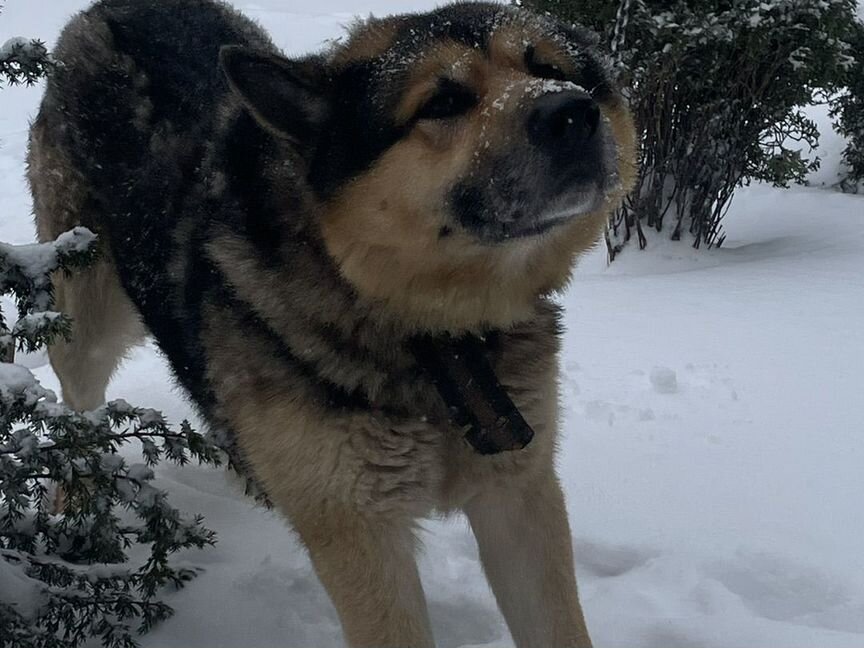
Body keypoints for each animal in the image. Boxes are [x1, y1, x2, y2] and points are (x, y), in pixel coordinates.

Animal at [28, 1, 636, 644]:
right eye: (442, 102)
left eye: (550, 67)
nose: (573, 113)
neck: (436, 338)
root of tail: (111, 9)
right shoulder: (359, 532)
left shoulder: (519, 493)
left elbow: (559, 623)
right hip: (88, 320)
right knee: (78, 414)